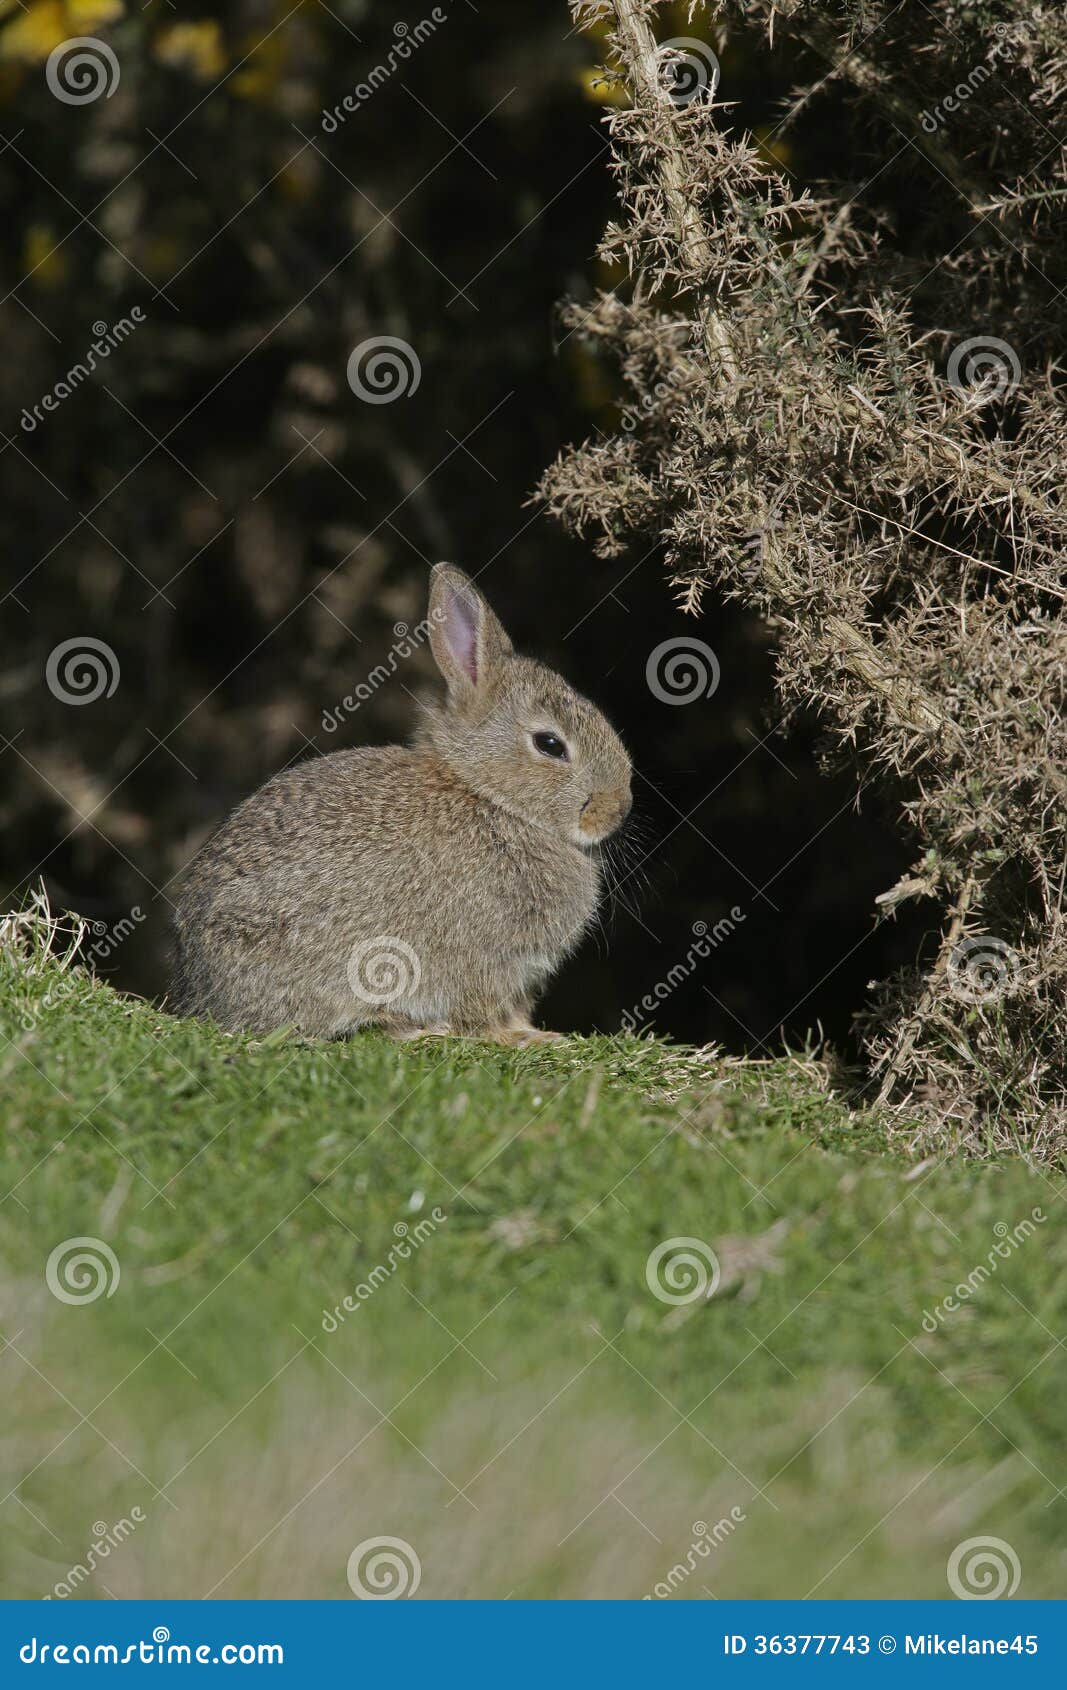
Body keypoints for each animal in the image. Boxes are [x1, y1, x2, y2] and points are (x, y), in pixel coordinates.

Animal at [170, 563, 632, 1044]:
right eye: (550, 744)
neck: (491, 798)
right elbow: (485, 1010)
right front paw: (523, 1038)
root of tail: (197, 981)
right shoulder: (485, 959)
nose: (618, 808)